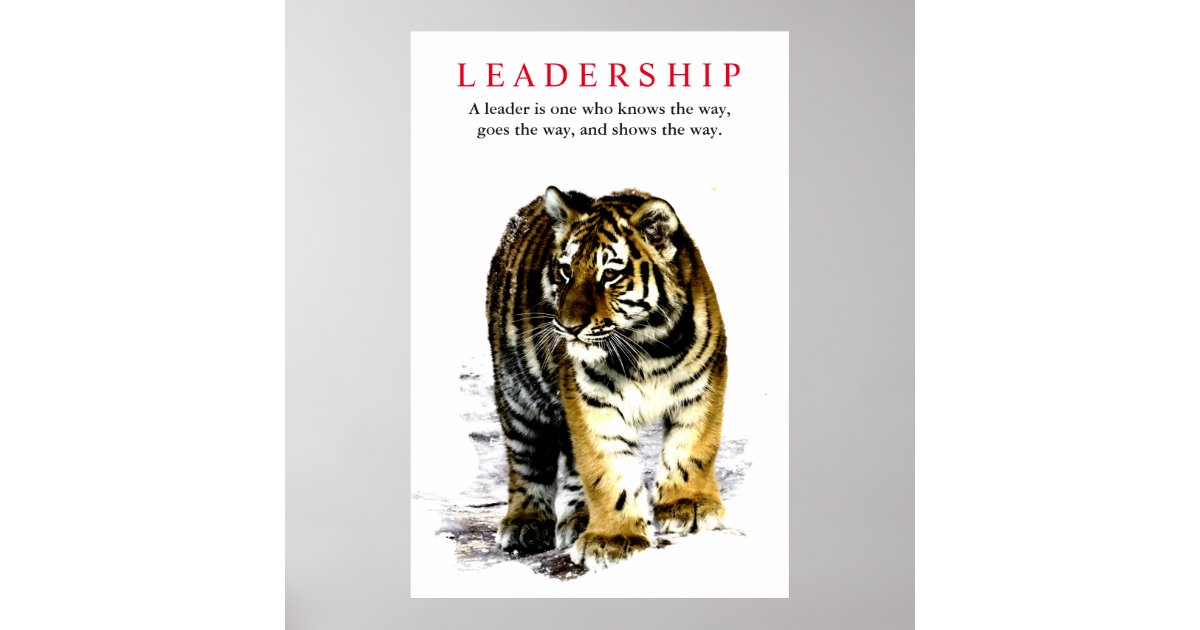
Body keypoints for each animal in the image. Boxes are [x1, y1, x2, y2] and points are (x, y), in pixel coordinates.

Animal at [485, 186, 728, 570]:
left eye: (610, 275)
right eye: (565, 271)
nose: (568, 327)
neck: (647, 346)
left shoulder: (703, 383)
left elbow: (693, 447)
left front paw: (688, 506)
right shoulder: (591, 400)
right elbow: (607, 469)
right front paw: (614, 539)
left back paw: (579, 518)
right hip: (517, 395)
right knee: (528, 460)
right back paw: (526, 525)